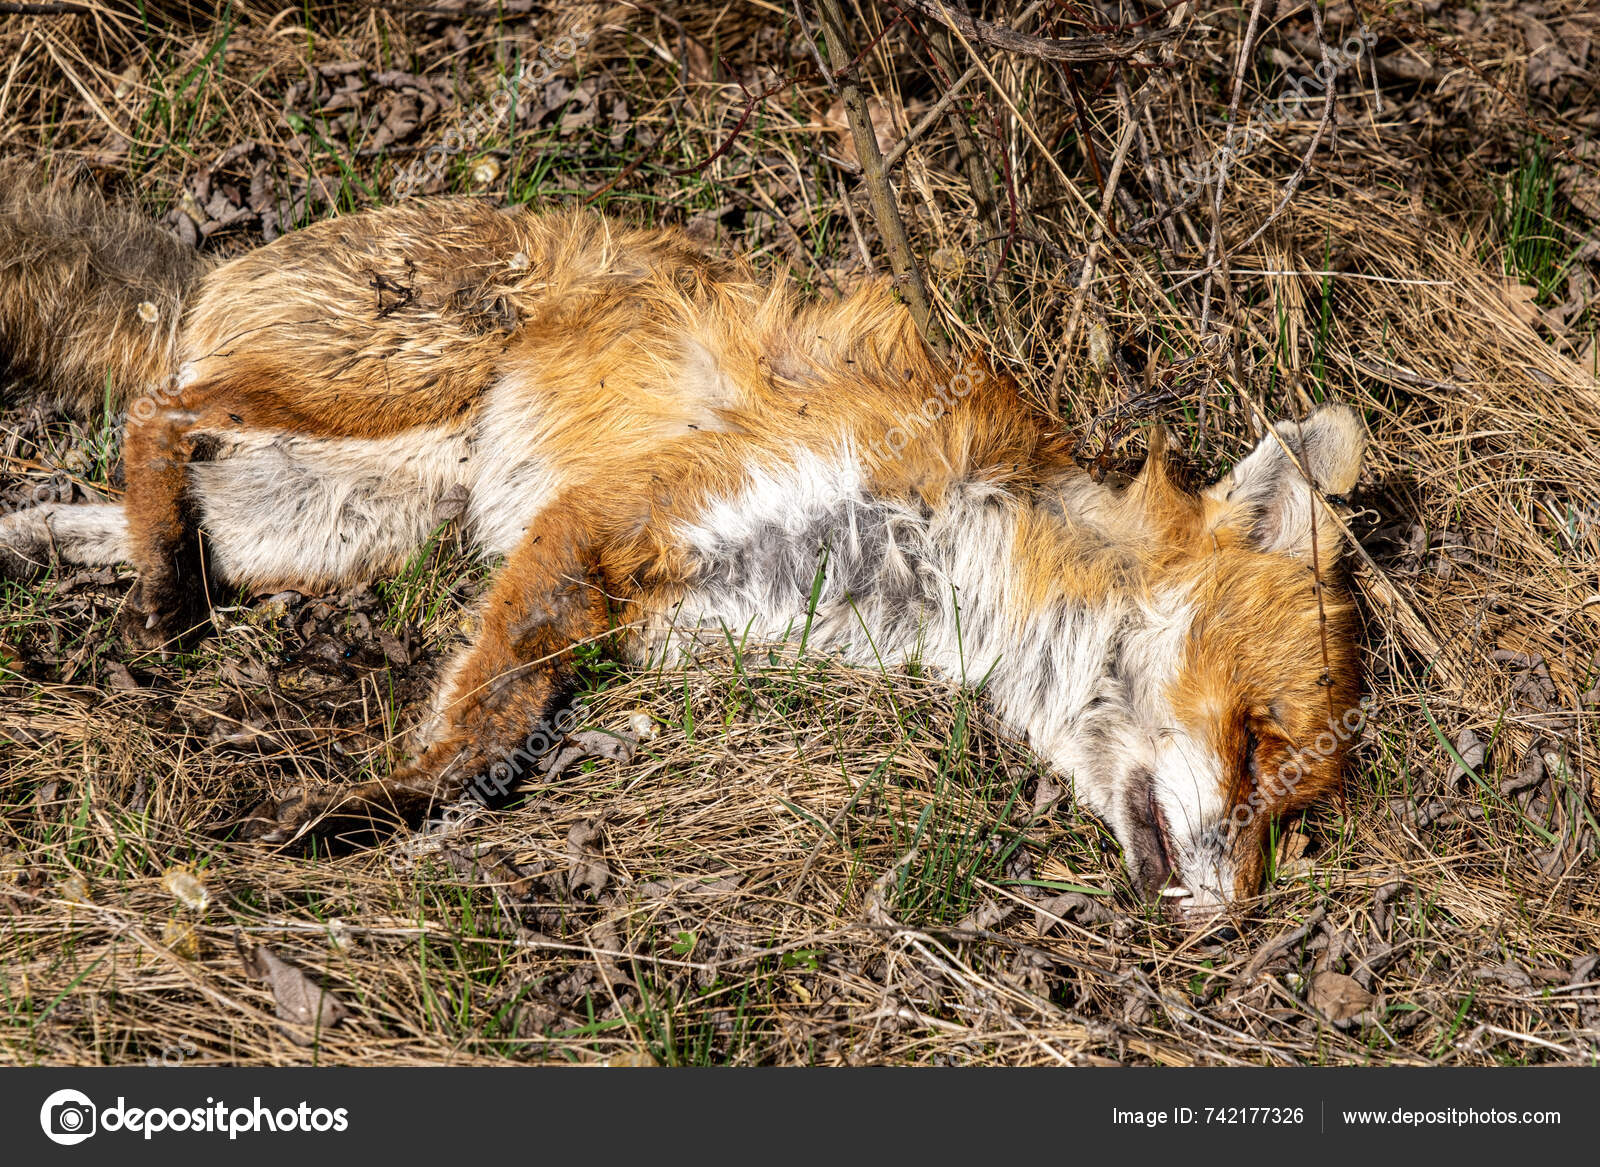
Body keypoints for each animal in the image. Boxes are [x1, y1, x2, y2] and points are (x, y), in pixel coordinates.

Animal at [0, 164, 1365, 913]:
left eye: (1291, 803)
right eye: (1257, 747)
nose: (1230, 922)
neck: (940, 566)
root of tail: (218, 270)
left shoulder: (659, 616)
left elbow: (512, 707)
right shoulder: (613, 514)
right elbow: (483, 723)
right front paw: (379, 816)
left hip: (330, 523)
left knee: (130, 493)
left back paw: (61, 552)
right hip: (371, 389)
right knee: (155, 407)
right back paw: (161, 594)